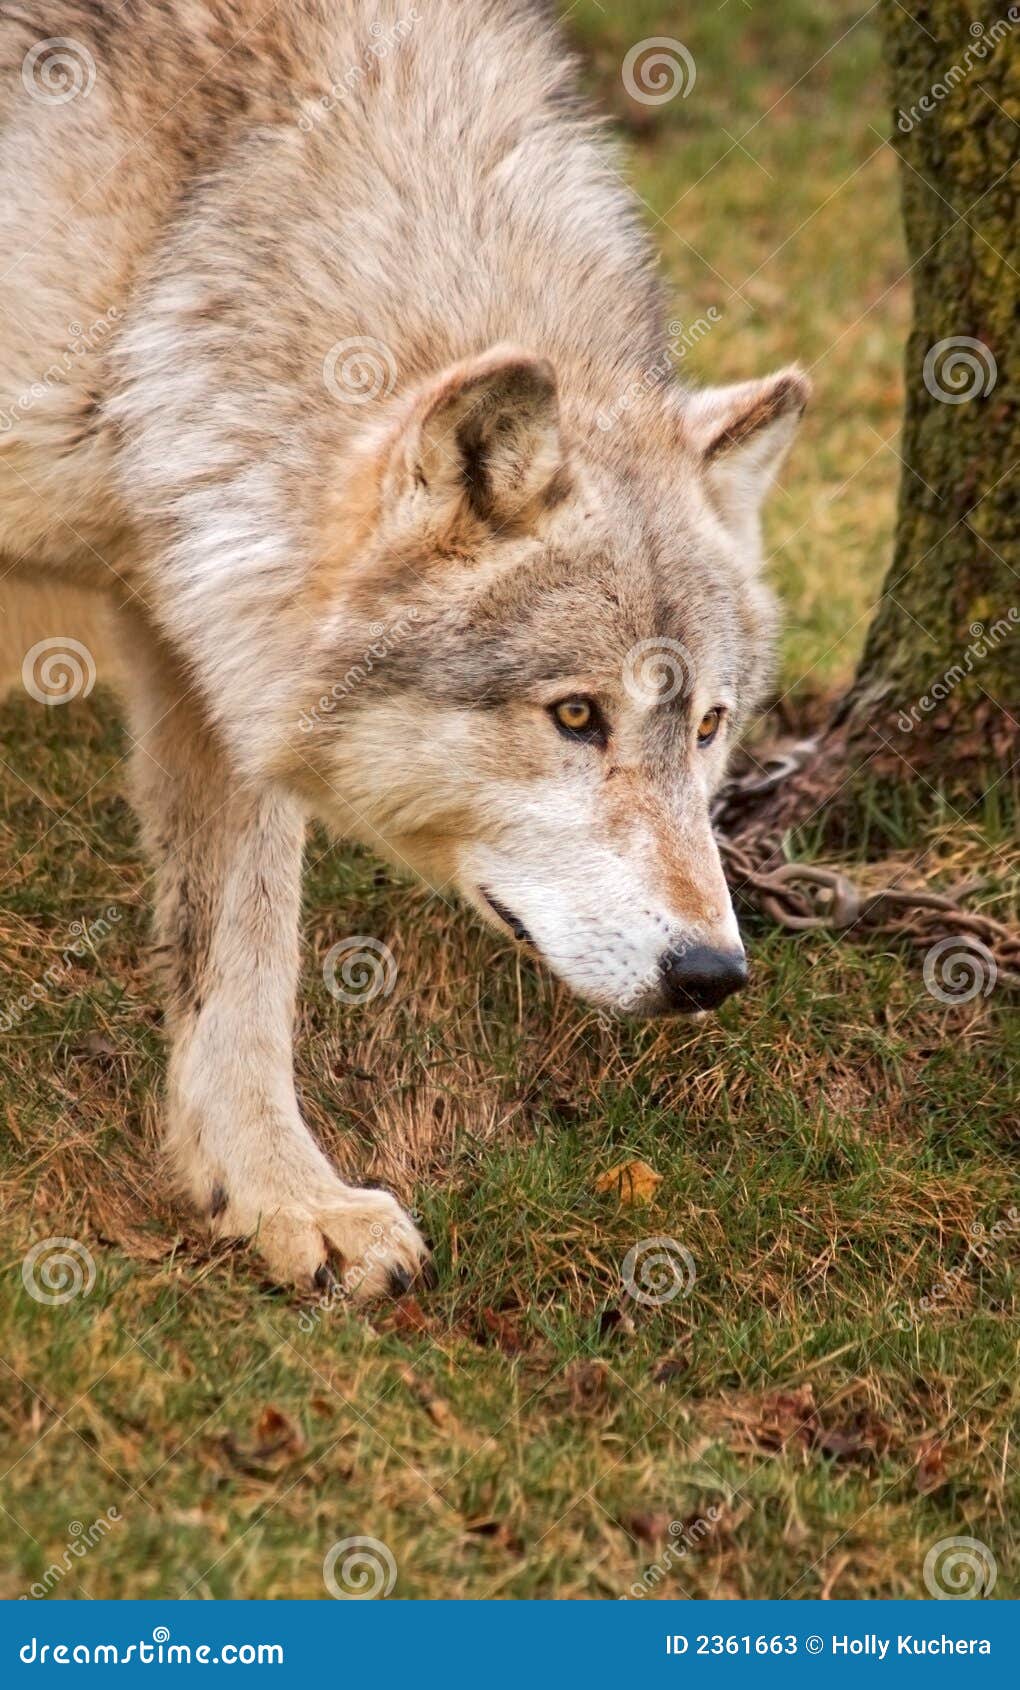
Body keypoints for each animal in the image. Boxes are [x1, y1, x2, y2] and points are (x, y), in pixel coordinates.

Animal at [0, 1, 807, 1295]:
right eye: (574, 715)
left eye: (709, 726)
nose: (711, 974)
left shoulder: (212, 649)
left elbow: (246, 956)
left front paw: (284, 1198)